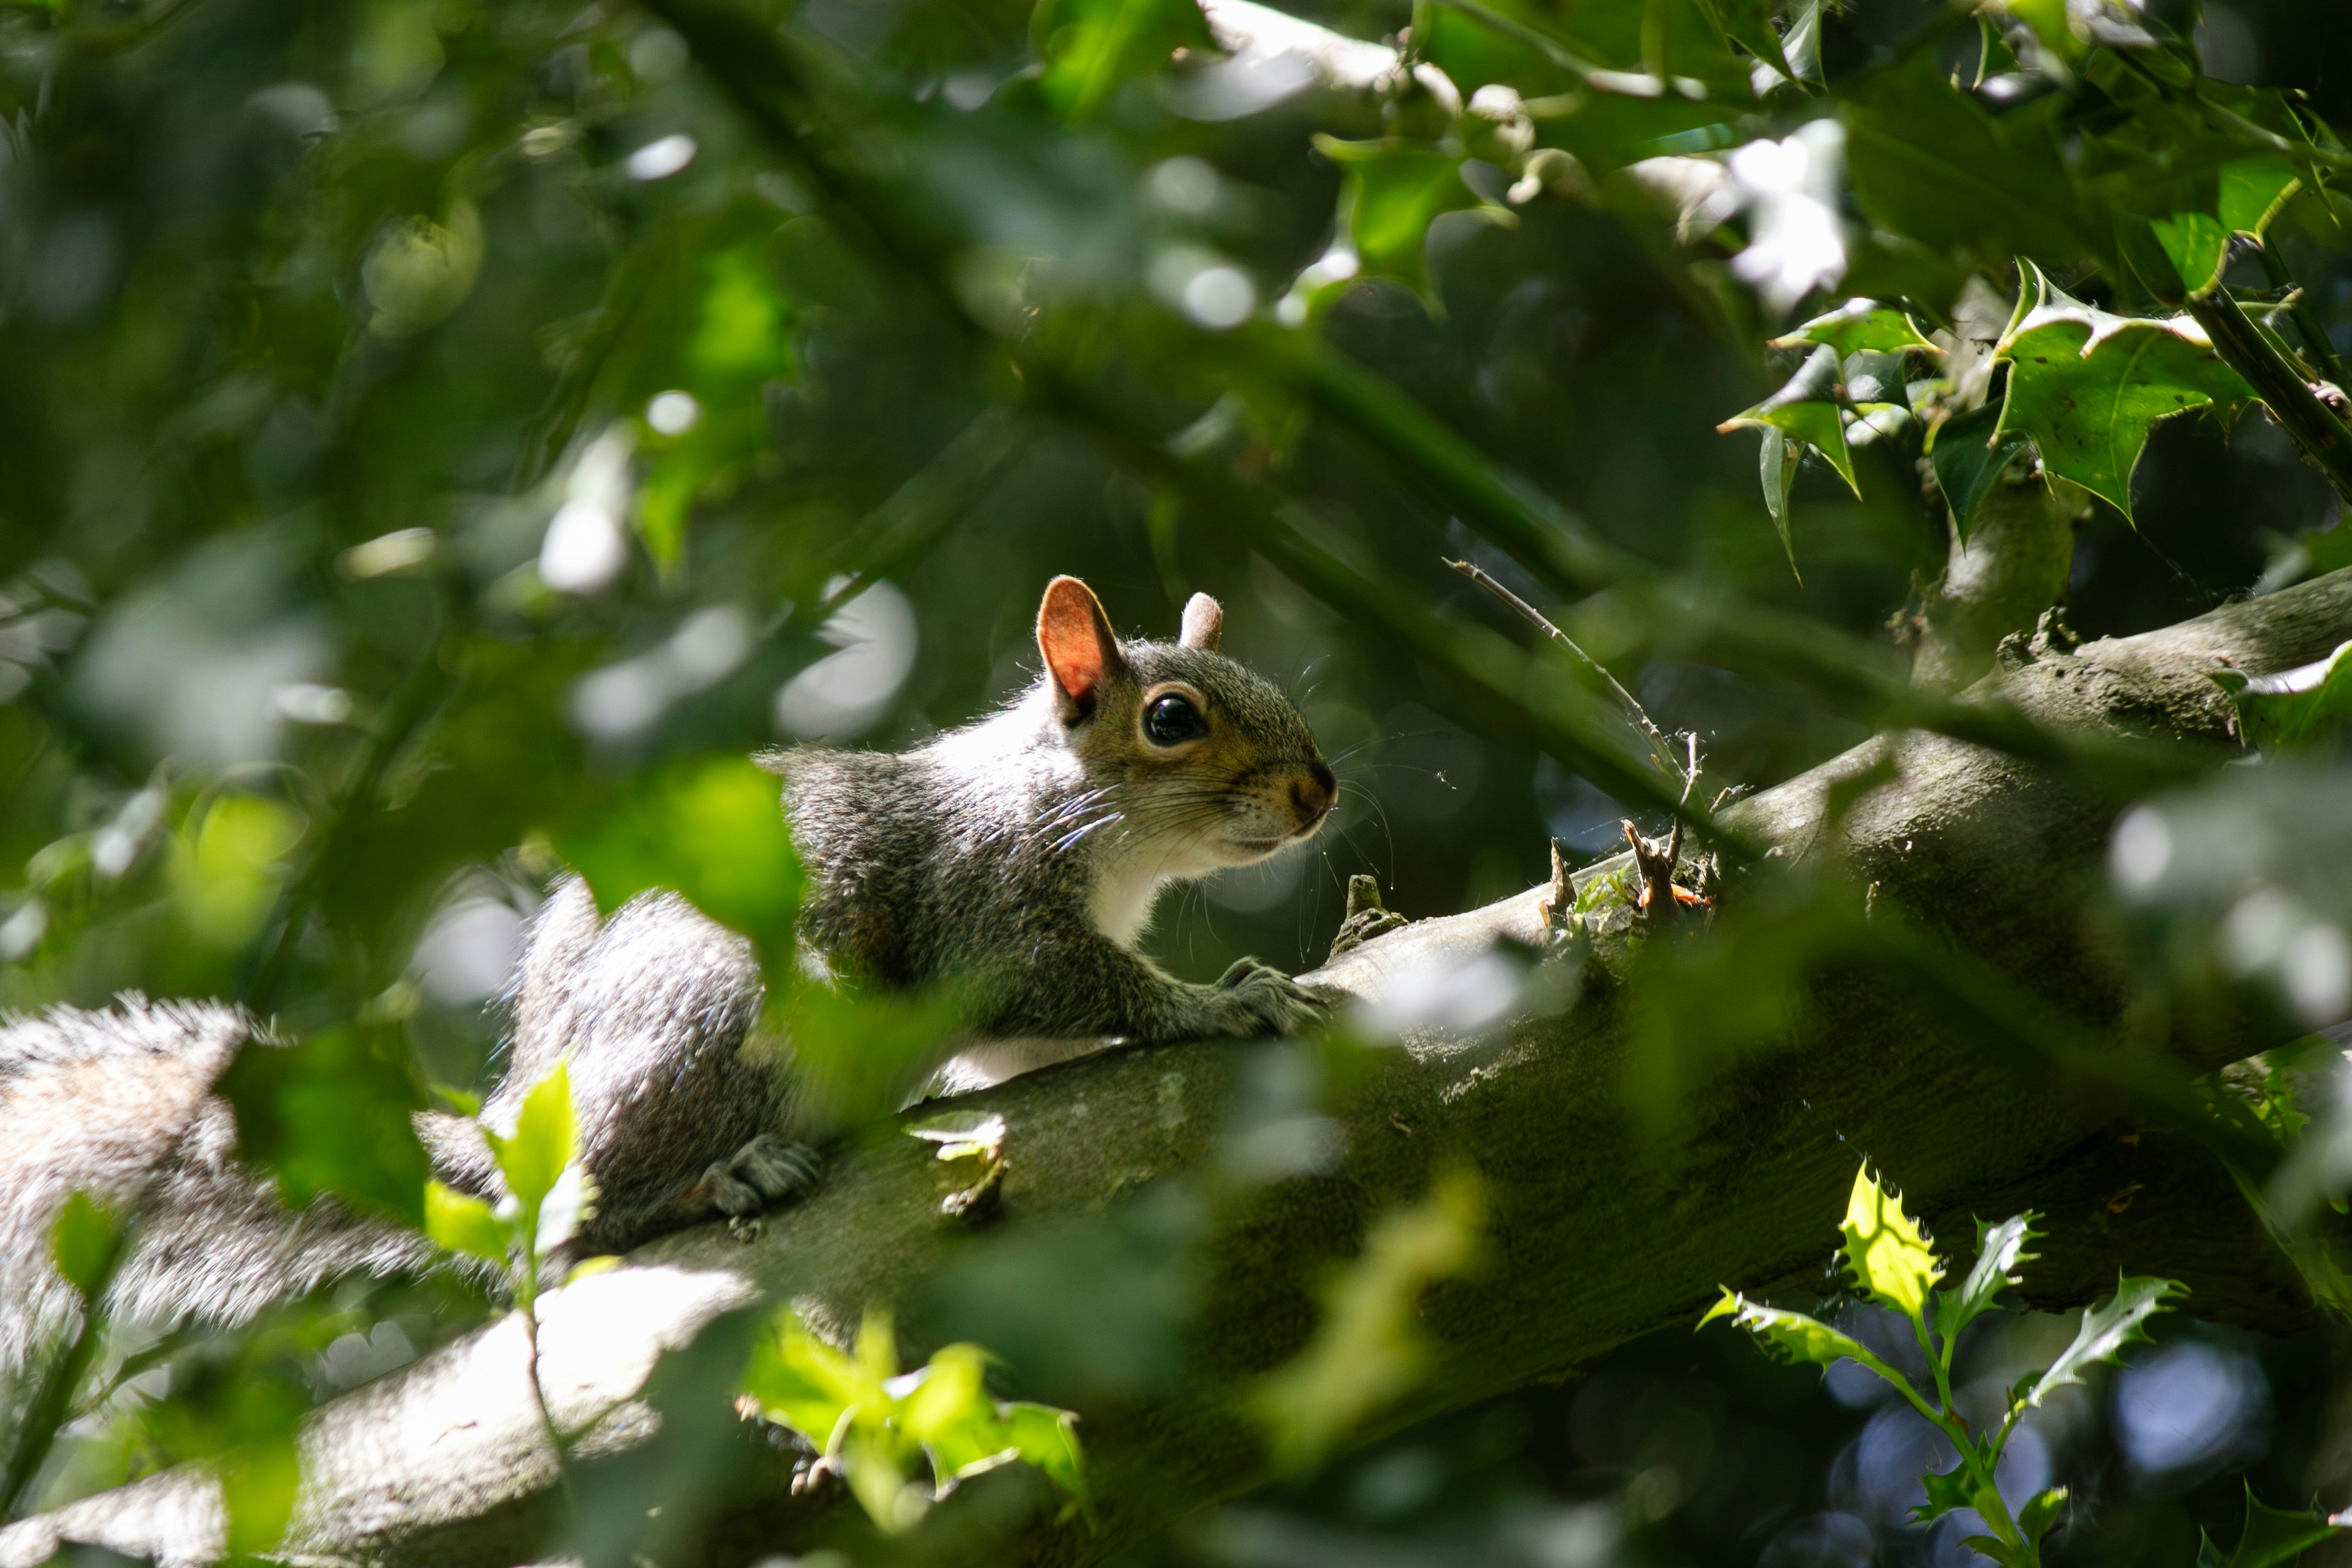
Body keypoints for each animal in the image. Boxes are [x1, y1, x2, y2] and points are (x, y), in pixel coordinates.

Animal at [2, 576, 1339, 1371]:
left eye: (1276, 690)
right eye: (1170, 720)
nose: (1318, 789)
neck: (1080, 817)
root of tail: (508, 1145)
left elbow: (1036, 1041)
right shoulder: (987, 904)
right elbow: (1080, 989)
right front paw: (1223, 999)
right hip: (715, 1008)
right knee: (581, 1224)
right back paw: (722, 1175)